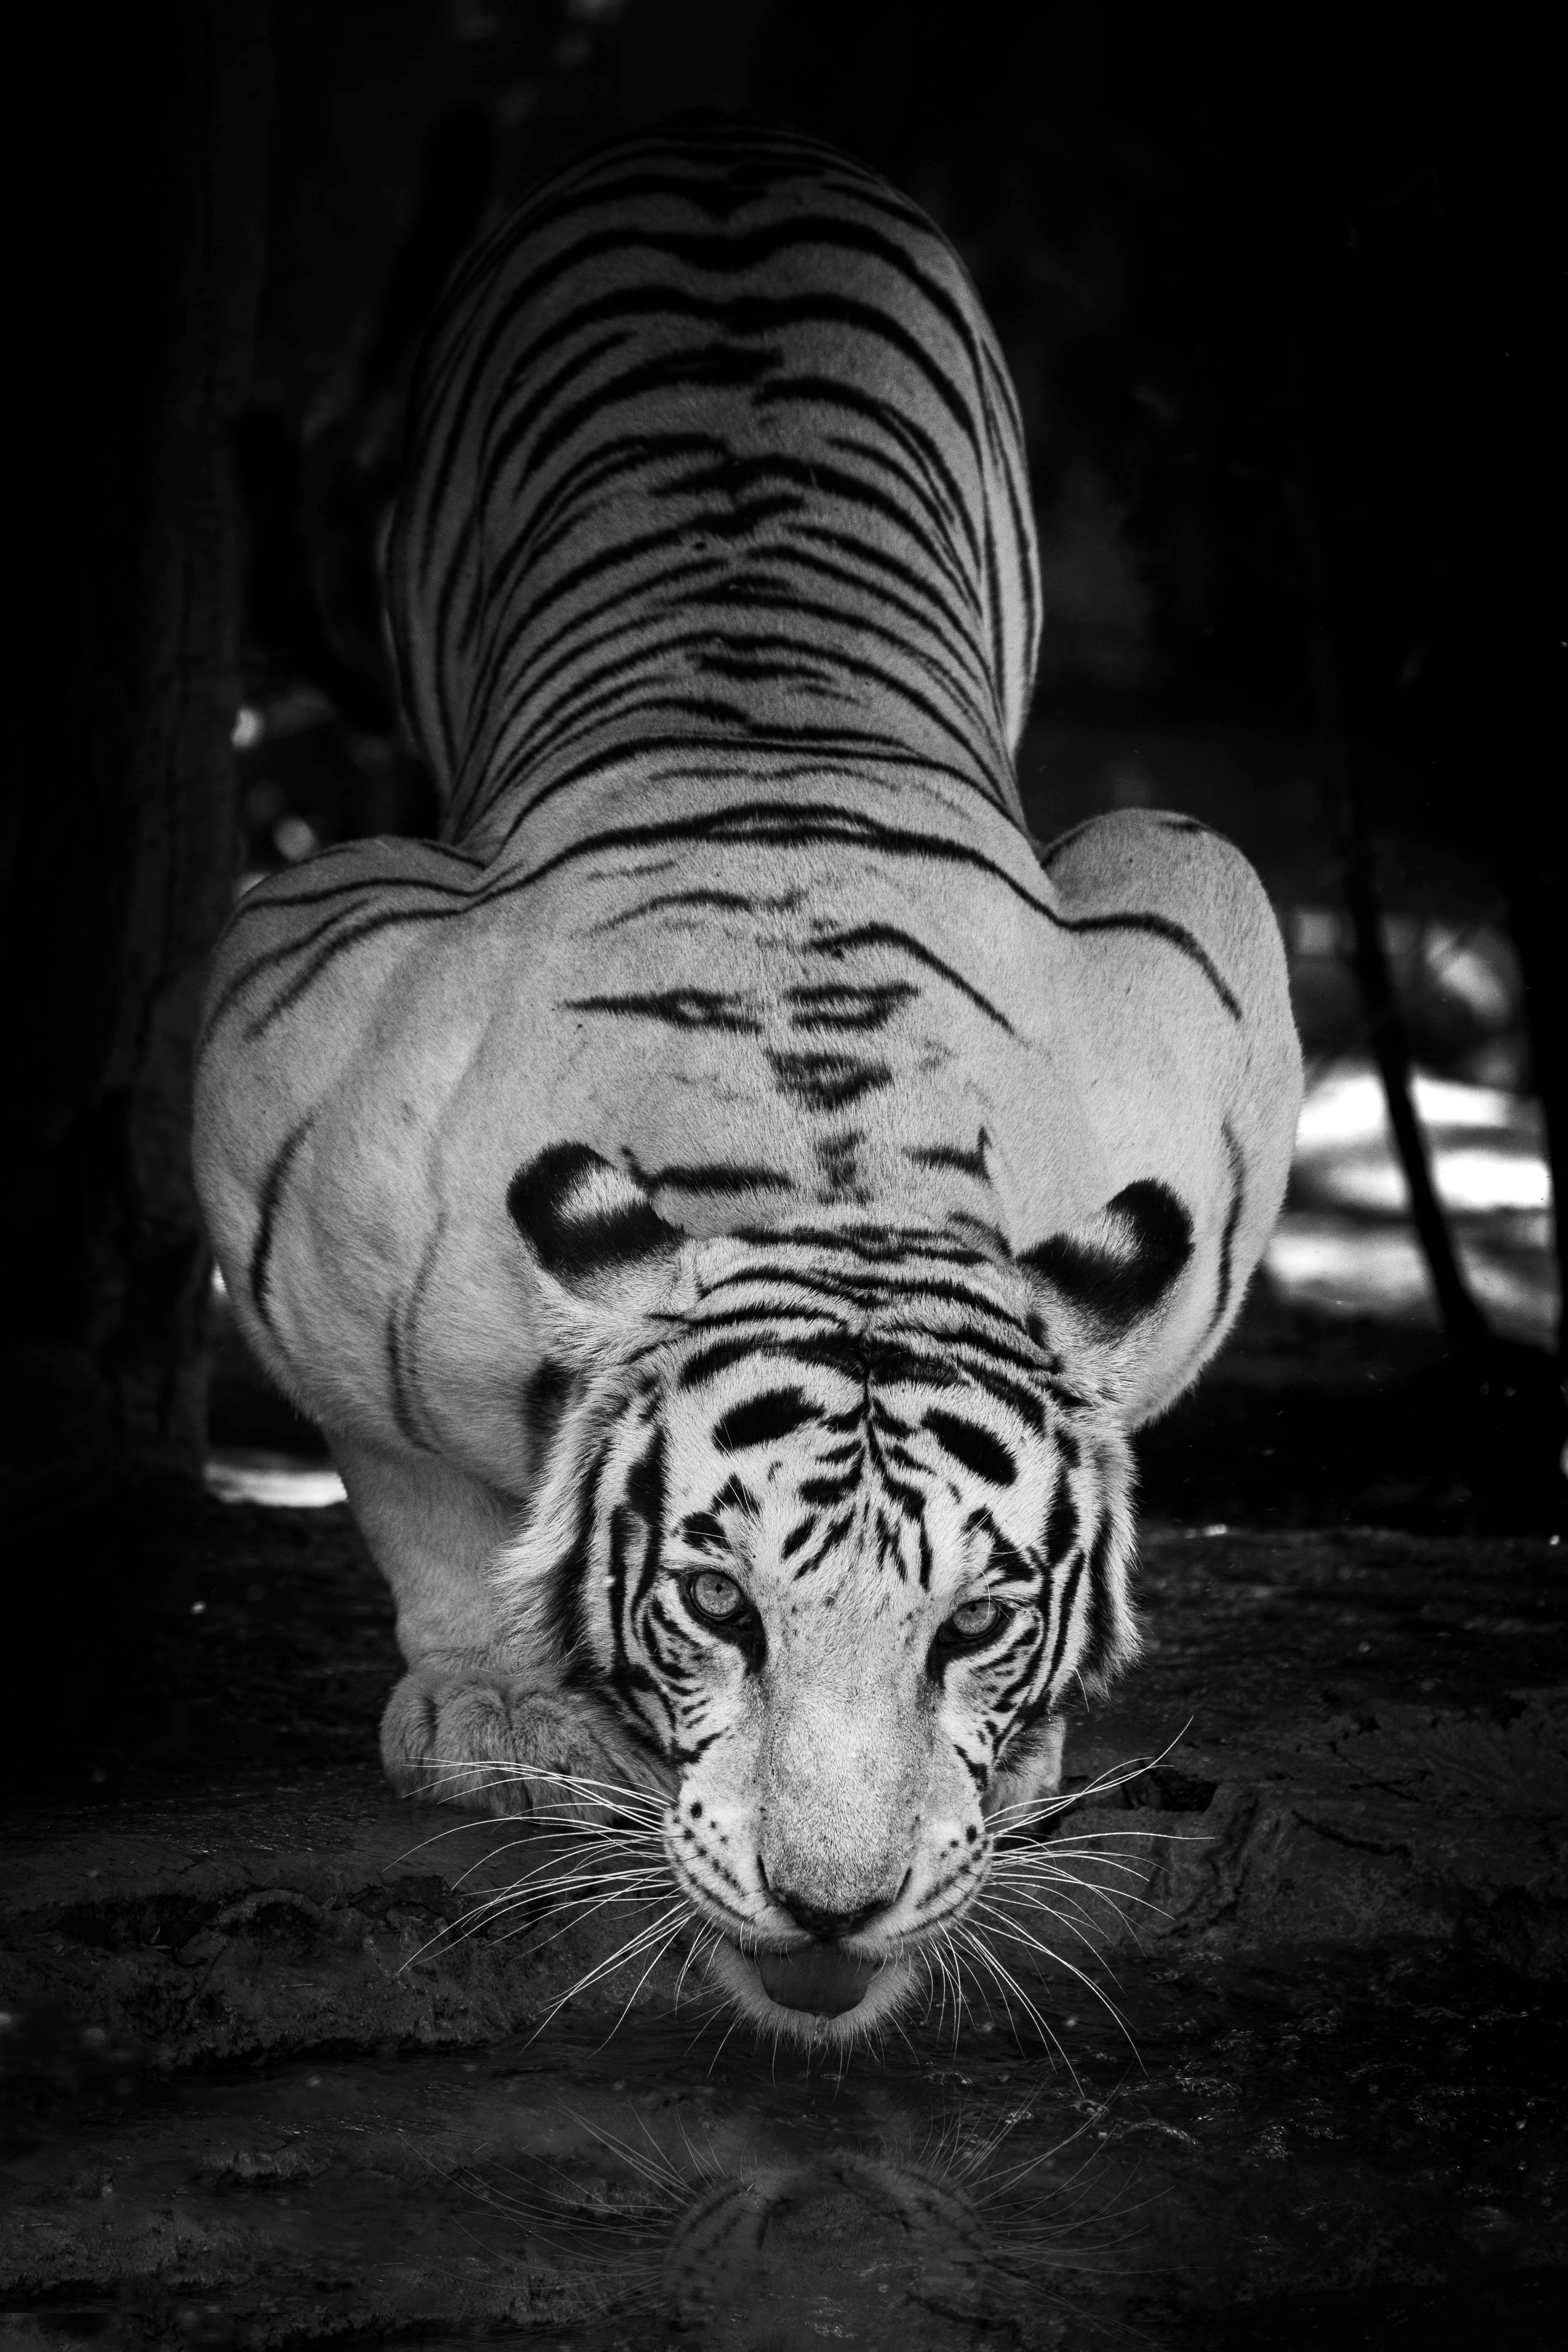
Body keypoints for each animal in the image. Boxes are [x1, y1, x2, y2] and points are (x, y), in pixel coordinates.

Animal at [194, 118, 1301, 2048]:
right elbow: (403, 1477)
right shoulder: (289, 1039)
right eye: (719, 1604)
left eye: (972, 1624)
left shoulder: (1203, 924)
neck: (826, 1160)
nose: (832, 1902)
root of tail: (717, 142)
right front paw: (494, 1713)